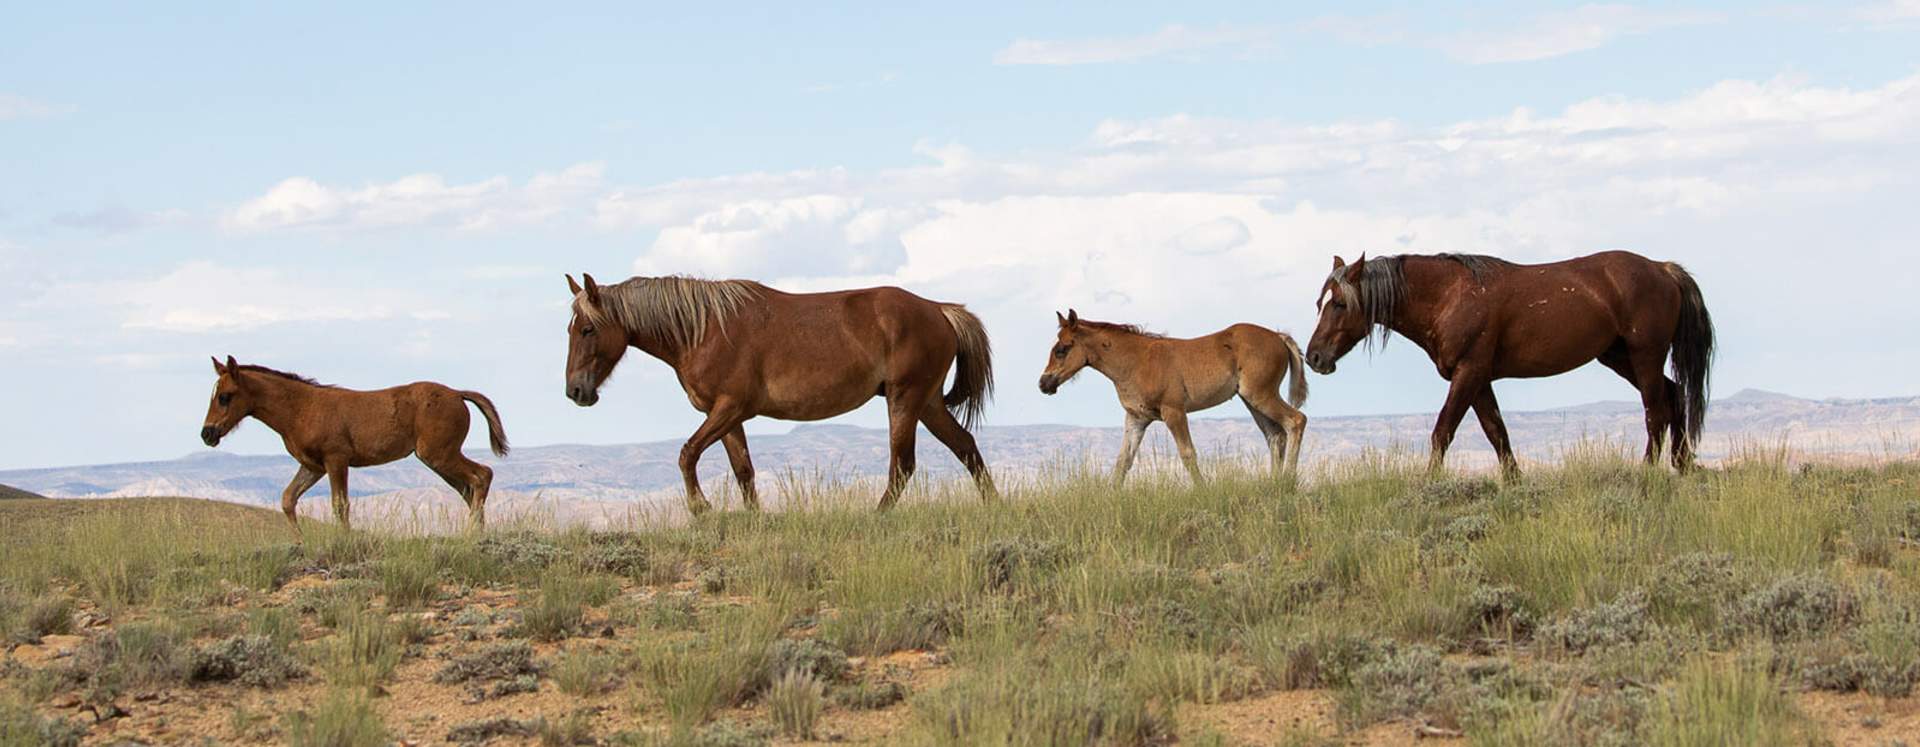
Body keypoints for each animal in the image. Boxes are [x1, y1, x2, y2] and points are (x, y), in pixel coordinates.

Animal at [198, 356, 509, 537]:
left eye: (225, 396)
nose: (207, 434)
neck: (302, 408)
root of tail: (457, 394)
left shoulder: (337, 460)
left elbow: (340, 505)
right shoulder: (312, 466)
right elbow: (288, 499)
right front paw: (300, 543)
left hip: (439, 454)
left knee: (482, 475)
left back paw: (472, 535)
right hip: (437, 459)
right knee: (469, 488)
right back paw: (477, 534)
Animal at [562, 274, 997, 514]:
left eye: (587, 329)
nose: (575, 391)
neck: (704, 330)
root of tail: (939, 310)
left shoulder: (730, 407)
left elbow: (687, 454)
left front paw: (701, 508)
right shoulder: (725, 416)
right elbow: (743, 470)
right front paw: (754, 518)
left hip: (905, 399)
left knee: (903, 464)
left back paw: (876, 516)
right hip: (927, 402)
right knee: (965, 447)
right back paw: (994, 504)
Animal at [1037, 309, 1310, 486]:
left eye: (1062, 349)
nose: (1043, 383)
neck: (1136, 362)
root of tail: (1278, 336)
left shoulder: (1174, 411)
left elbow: (1187, 453)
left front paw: (1203, 491)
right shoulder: (1136, 419)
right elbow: (1123, 460)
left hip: (1261, 394)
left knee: (1296, 421)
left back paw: (1287, 481)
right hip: (1251, 400)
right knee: (1275, 436)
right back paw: (1274, 484)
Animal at [1303, 251, 1714, 476]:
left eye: (1340, 303)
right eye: (1320, 303)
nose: (1314, 357)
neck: (1450, 296)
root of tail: (1663, 269)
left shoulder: (1468, 373)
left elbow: (1443, 431)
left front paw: (1428, 482)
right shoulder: (1478, 378)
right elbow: (1496, 432)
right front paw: (1514, 481)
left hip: (1645, 355)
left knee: (1656, 411)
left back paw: (1649, 471)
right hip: (1618, 356)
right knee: (1673, 397)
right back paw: (1683, 464)